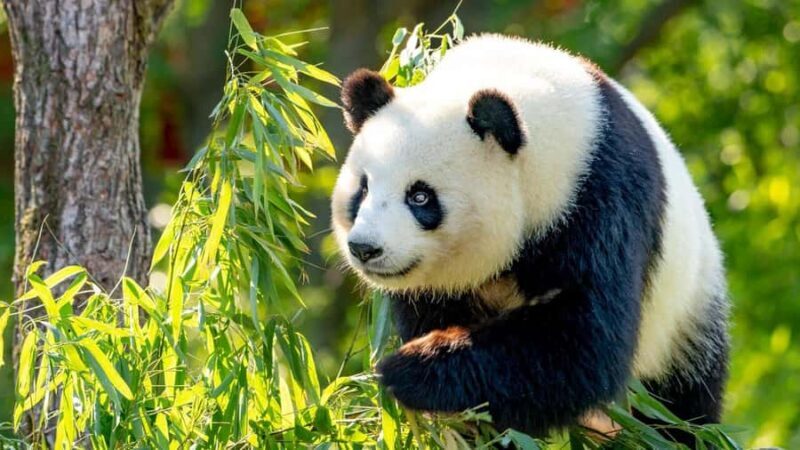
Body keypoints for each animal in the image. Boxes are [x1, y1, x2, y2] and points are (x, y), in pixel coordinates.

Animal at [330, 34, 729, 443]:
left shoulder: (599, 199)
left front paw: (412, 368)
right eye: (363, 189)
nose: (365, 248)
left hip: (682, 321)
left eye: (420, 196)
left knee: (678, 410)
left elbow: (578, 342)